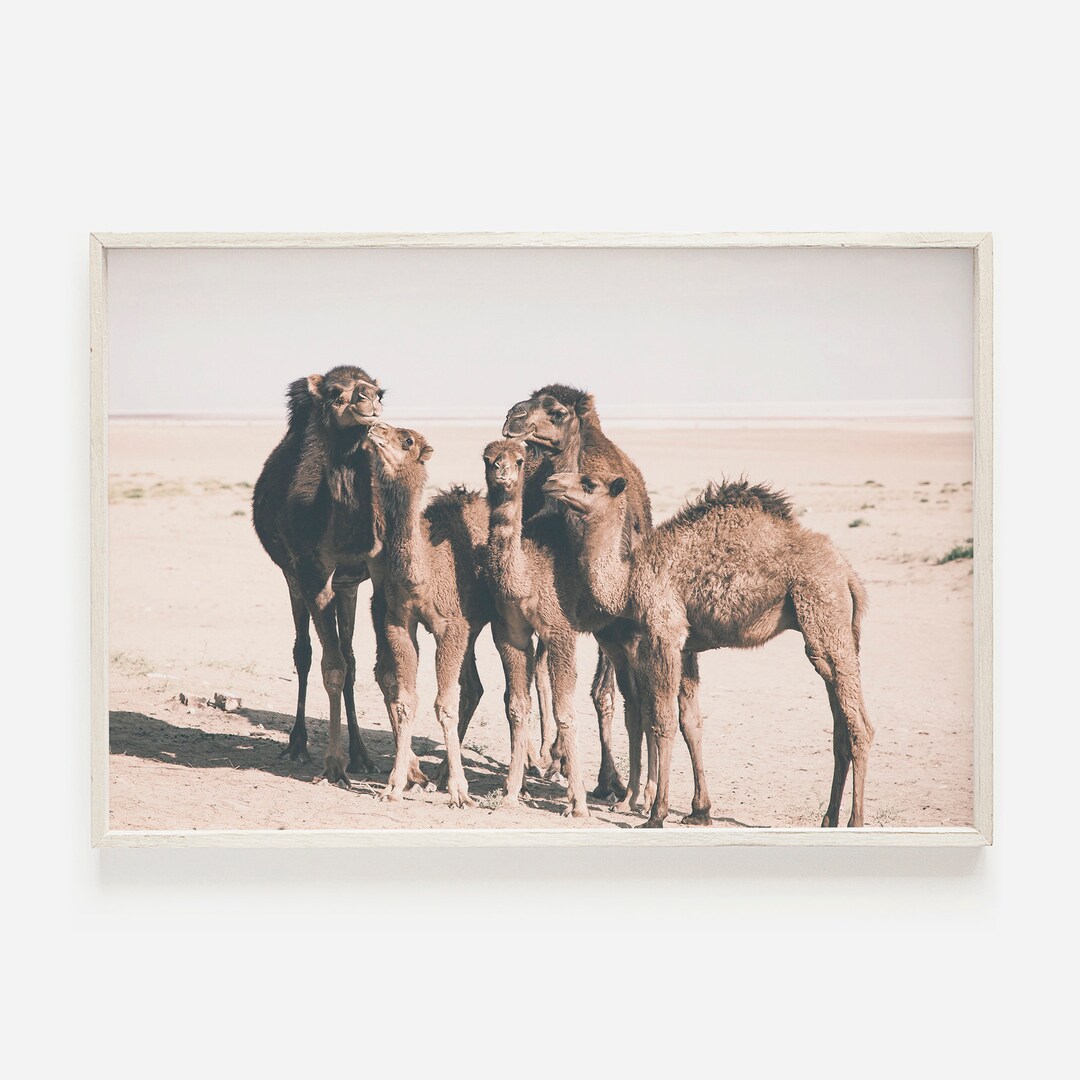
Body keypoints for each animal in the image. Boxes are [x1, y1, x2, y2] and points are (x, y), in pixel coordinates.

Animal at [364, 422, 492, 807]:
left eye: (407, 440)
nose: (375, 427)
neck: (423, 574)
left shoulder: (450, 625)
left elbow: (444, 704)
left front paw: (461, 792)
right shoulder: (398, 622)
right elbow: (406, 701)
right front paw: (394, 786)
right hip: (471, 630)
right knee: (473, 688)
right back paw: (439, 774)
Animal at [502, 384, 654, 799]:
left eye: (556, 411)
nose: (512, 417)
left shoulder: (610, 620)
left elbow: (604, 694)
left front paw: (609, 780)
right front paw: (556, 759)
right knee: (538, 674)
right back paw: (540, 757)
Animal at [542, 472, 874, 829]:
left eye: (588, 483)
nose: (551, 481)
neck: (630, 579)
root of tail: (848, 575)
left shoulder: (664, 632)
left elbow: (662, 720)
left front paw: (656, 814)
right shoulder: (686, 645)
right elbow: (689, 721)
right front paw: (697, 812)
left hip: (823, 611)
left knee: (859, 726)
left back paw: (855, 821)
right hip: (834, 633)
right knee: (840, 725)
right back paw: (828, 818)